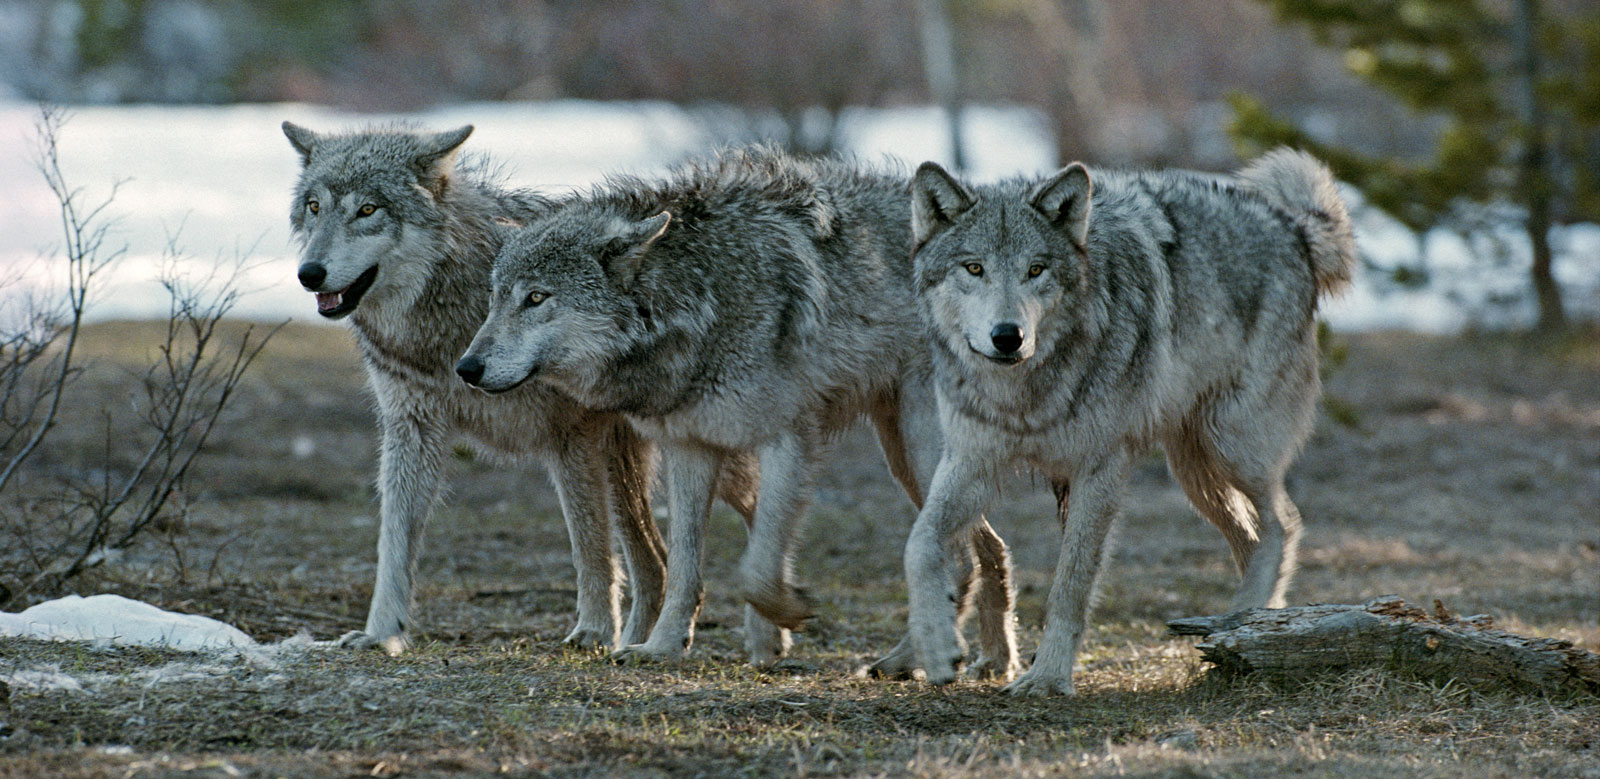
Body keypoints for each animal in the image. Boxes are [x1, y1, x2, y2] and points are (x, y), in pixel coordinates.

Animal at [281, 122, 758, 654]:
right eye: (314, 207)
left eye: (368, 210)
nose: (309, 274)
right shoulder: (412, 427)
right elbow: (394, 543)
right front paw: (381, 634)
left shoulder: (573, 435)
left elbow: (589, 545)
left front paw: (593, 630)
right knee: (655, 562)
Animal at [456, 148, 1020, 673]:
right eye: (494, 298)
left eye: (536, 298)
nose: (466, 367)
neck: (698, 300)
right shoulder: (690, 447)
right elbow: (685, 567)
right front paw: (662, 647)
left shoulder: (789, 441)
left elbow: (756, 568)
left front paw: (790, 609)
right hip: (903, 454)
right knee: (984, 550)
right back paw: (971, 659)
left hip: (921, 445)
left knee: (960, 556)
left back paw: (927, 658)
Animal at [902, 149, 1356, 695]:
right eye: (974, 268)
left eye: (1036, 269)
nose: (1008, 336)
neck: (1025, 393)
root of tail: (1294, 229)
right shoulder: (972, 463)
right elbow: (918, 543)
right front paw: (936, 646)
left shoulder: (1100, 469)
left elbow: (1072, 583)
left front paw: (1047, 677)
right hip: (1195, 473)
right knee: (1253, 537)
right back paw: (1250, 628)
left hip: (1232, 447)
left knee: (1284, 523)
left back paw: (1245, 620)